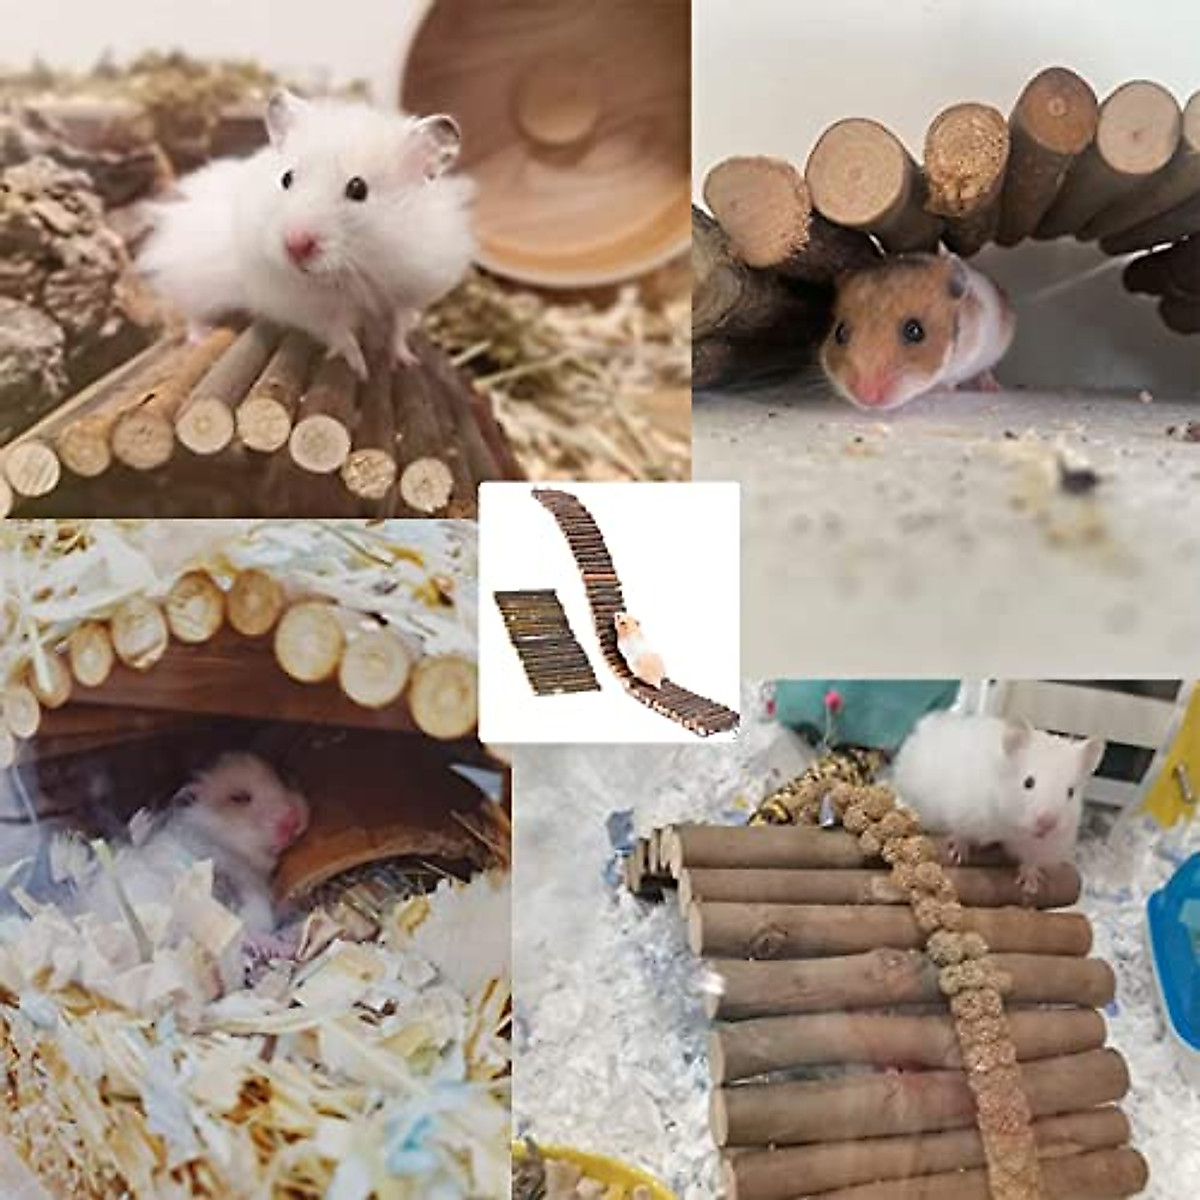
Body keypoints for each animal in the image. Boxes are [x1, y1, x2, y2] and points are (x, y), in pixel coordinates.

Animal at [138, 90, 476, 378]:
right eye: (286, 178)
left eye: (358, 189)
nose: (295, 246)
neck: (359, 269)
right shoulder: (305, 306)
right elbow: (338, 331)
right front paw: (359, 368)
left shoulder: (410, 289)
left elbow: (399, 326)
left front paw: (404, 361)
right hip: (194, 279)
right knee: (191, 311)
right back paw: (199, 336)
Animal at [892, 712, 1104, 892]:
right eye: (1028, 782)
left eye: (1070, 792)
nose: (1047, 824)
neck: (1010, 824)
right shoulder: (964, 810)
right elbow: (960, 833)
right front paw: (959, 854)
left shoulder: (1045, 845)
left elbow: (1031, 861)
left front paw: (1030, 885)